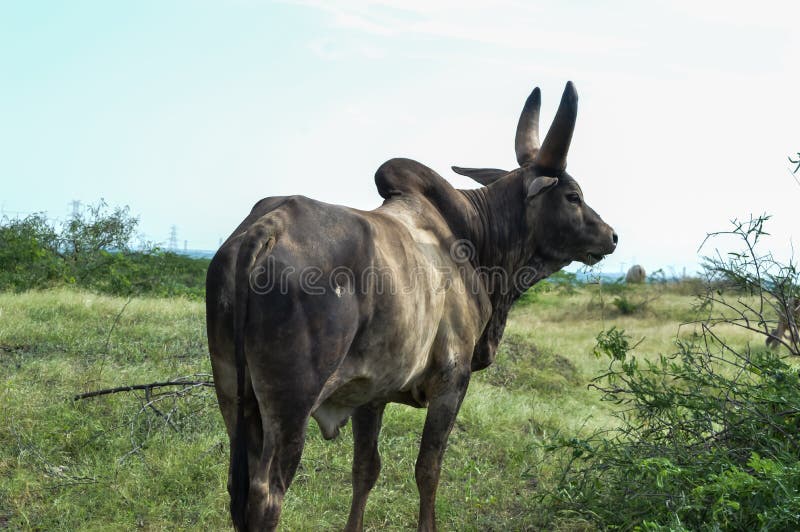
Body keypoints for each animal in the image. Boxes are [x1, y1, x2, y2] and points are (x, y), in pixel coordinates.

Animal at [206, 81, 617, 531]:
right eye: (573, 196)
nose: (611, 235)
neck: (474, 237)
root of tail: (266, 228)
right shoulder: (451, 382)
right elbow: (428, 471)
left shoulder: (370, 393)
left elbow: (365, 469)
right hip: (290, 406)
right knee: (267, 496)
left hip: (235, 398)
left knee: (238, 488)